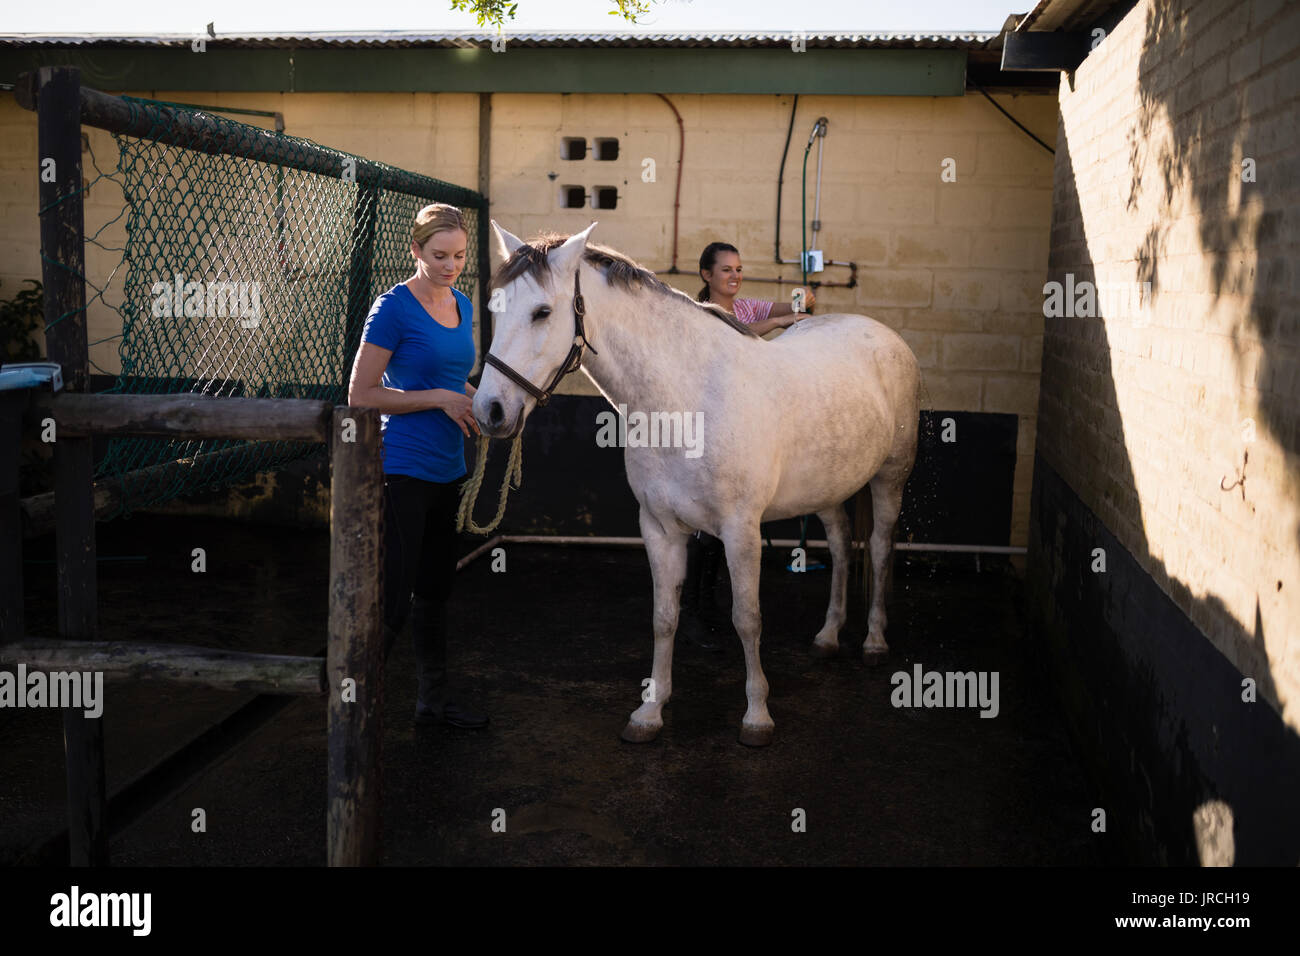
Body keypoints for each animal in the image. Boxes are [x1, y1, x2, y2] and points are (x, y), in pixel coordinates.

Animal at [474, 220, 921, 746]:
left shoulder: (741, 531)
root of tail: (884, 335)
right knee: (839, 545)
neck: (686, 399)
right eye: (493, 309)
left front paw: (757, 716)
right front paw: (649, 712)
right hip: (828, 488)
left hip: (890, 477)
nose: (490, 411)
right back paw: (828, 636)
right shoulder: (660, 529)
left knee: (880, 548)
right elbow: (664, 618)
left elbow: (747, 619)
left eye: (542, 312)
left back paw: (873, 641)